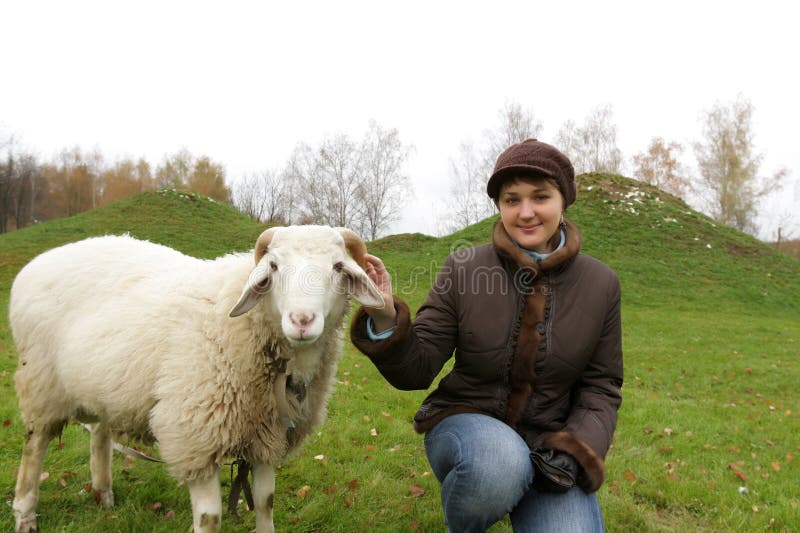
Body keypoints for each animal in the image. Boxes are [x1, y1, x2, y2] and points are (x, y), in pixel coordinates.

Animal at [9, 225, 383, 533]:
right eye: (274, 266)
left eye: (338, 267)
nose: (302, 320)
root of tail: (40, 261)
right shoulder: (195, 436)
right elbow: (209, 518)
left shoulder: (266, 436)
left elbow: (265, 503)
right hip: (40, 382)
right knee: (35, 446)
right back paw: (25, 514)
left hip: (102, 384)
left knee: (100, 433)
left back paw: (104, 495)